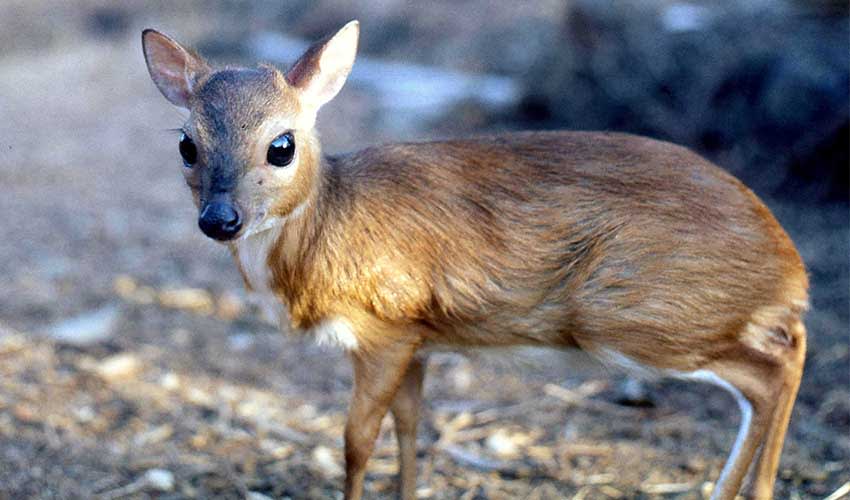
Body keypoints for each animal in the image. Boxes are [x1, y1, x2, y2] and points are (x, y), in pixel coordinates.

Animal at [142, 21, 808, 500]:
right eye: (186, 144)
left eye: (282, 145)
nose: (219, 219)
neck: (327, 228)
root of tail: (789, 266)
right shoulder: (416, 339)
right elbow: (410, 428)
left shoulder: (383, 330)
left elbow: (356, 441)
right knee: (785, 350)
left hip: (637, 317)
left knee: (770, 370)